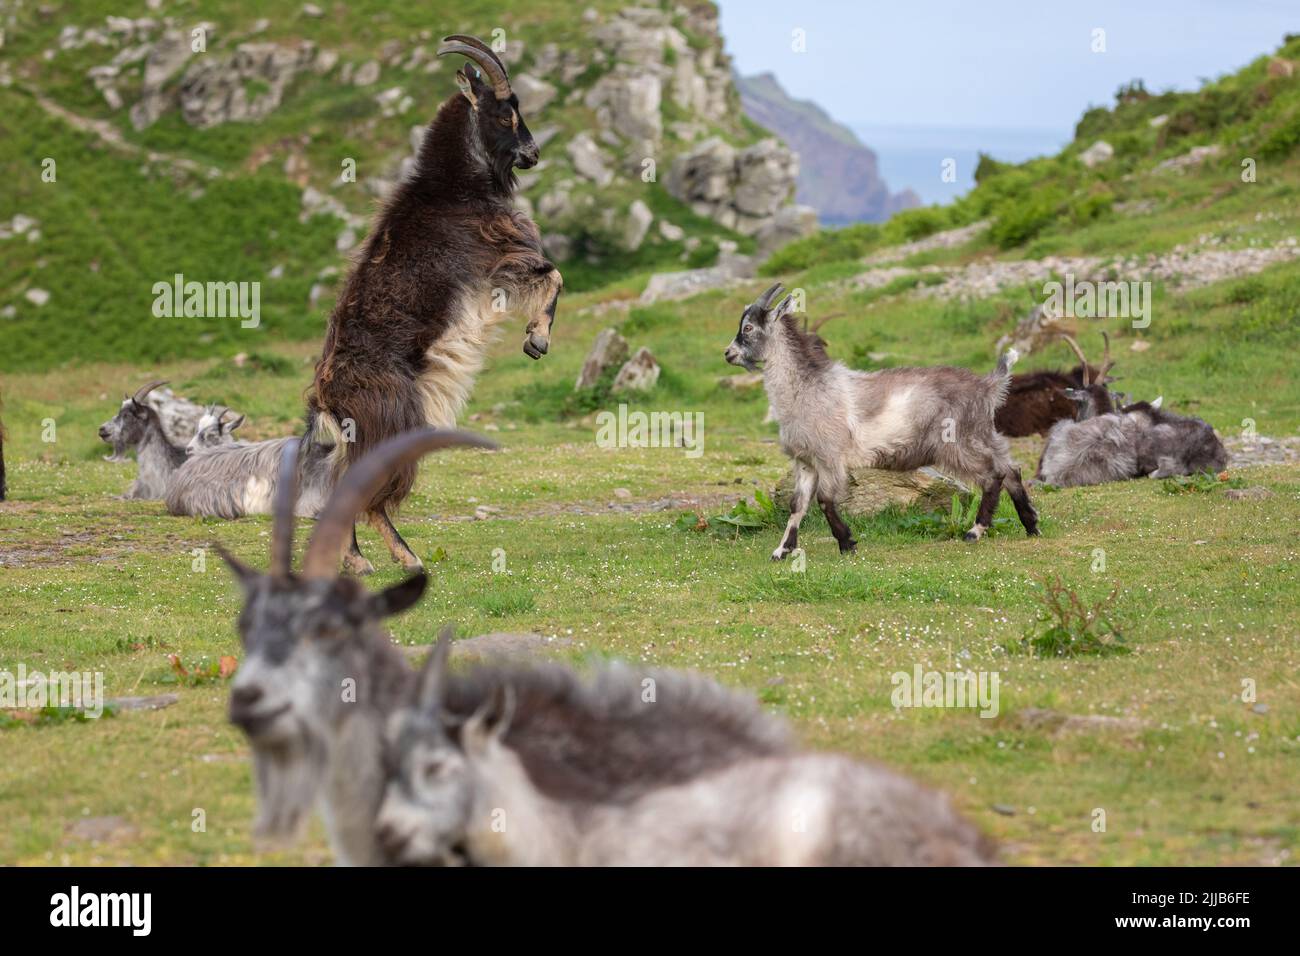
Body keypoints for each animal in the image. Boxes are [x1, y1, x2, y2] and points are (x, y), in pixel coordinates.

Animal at [303, 34, 562, 575]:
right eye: (505, 111)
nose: (533, 153)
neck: (451, 187)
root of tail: (326, 397)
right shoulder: (495, 259)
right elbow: (552, 275)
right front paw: (537, 340)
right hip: (393, 424)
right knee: (363, 491)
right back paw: (400, 557)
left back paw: (364, 560)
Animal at [725, 283, 1038, 555]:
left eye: (748, 328)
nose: (728, 353)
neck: (808, 388)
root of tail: (987, 386)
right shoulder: (805, 461)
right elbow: (797, 505)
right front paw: (782, 550)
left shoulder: (830, 458)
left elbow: (824, 501)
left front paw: (847, 543)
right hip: (984, 435)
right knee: (1011, 468)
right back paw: (1031, 525)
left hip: (957, 442)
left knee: (993, 475)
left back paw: (976, 530)